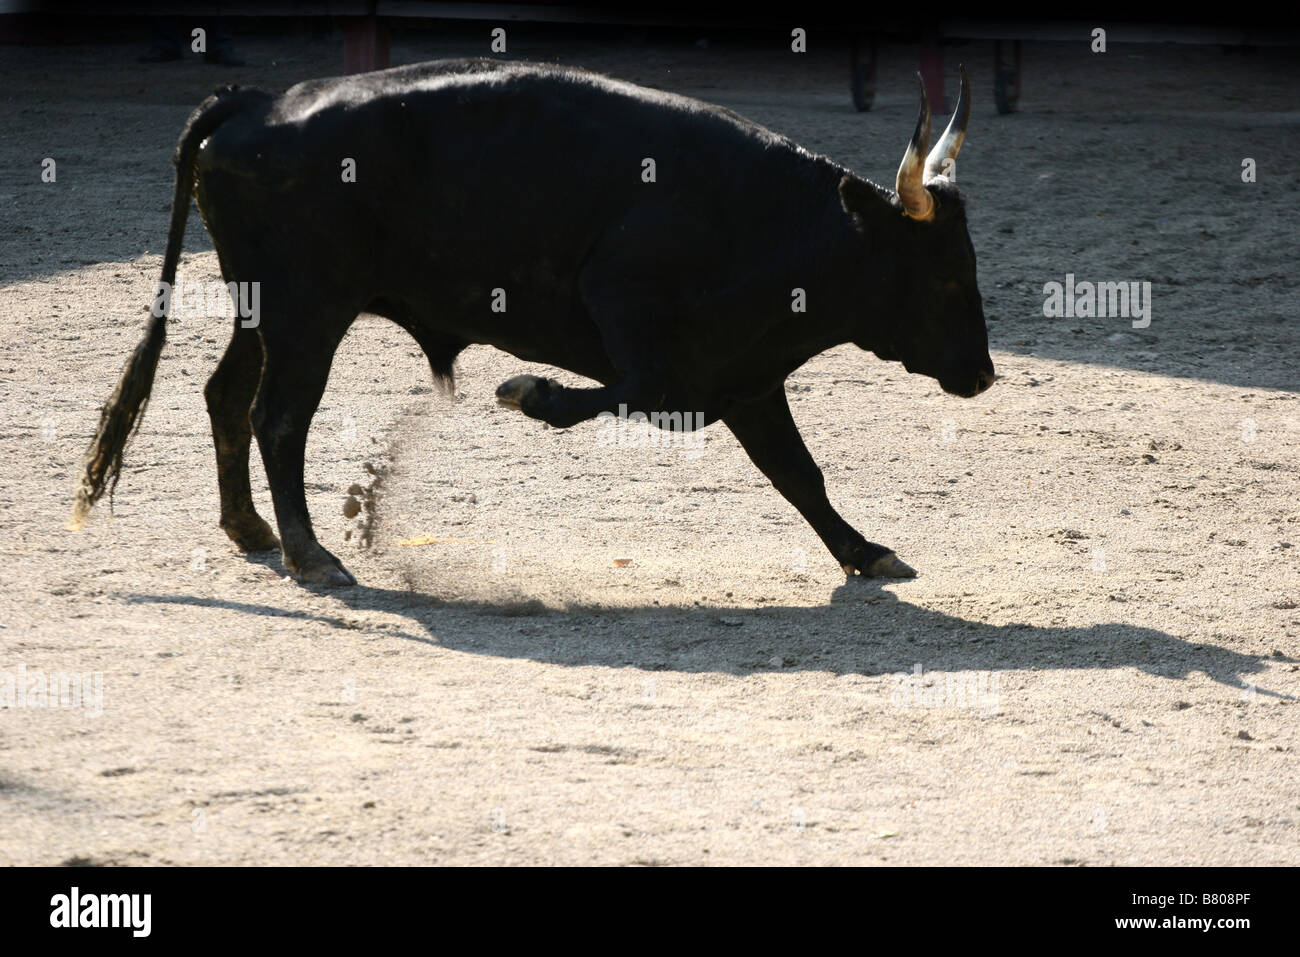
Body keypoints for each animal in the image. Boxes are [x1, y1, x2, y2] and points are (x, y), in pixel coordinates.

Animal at [70, 59, 994, 587]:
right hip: (307, 312)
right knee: (278, 415)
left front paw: (865, 552)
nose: (984, 373)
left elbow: (799, 473)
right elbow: (644, 396)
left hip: (262, 309)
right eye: (947, 273)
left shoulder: (749, 375)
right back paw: (311, 553)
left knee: (226, 394)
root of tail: (256, 100)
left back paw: (250, 529)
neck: (768, 222)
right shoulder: (636, 318)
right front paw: (525, 392)